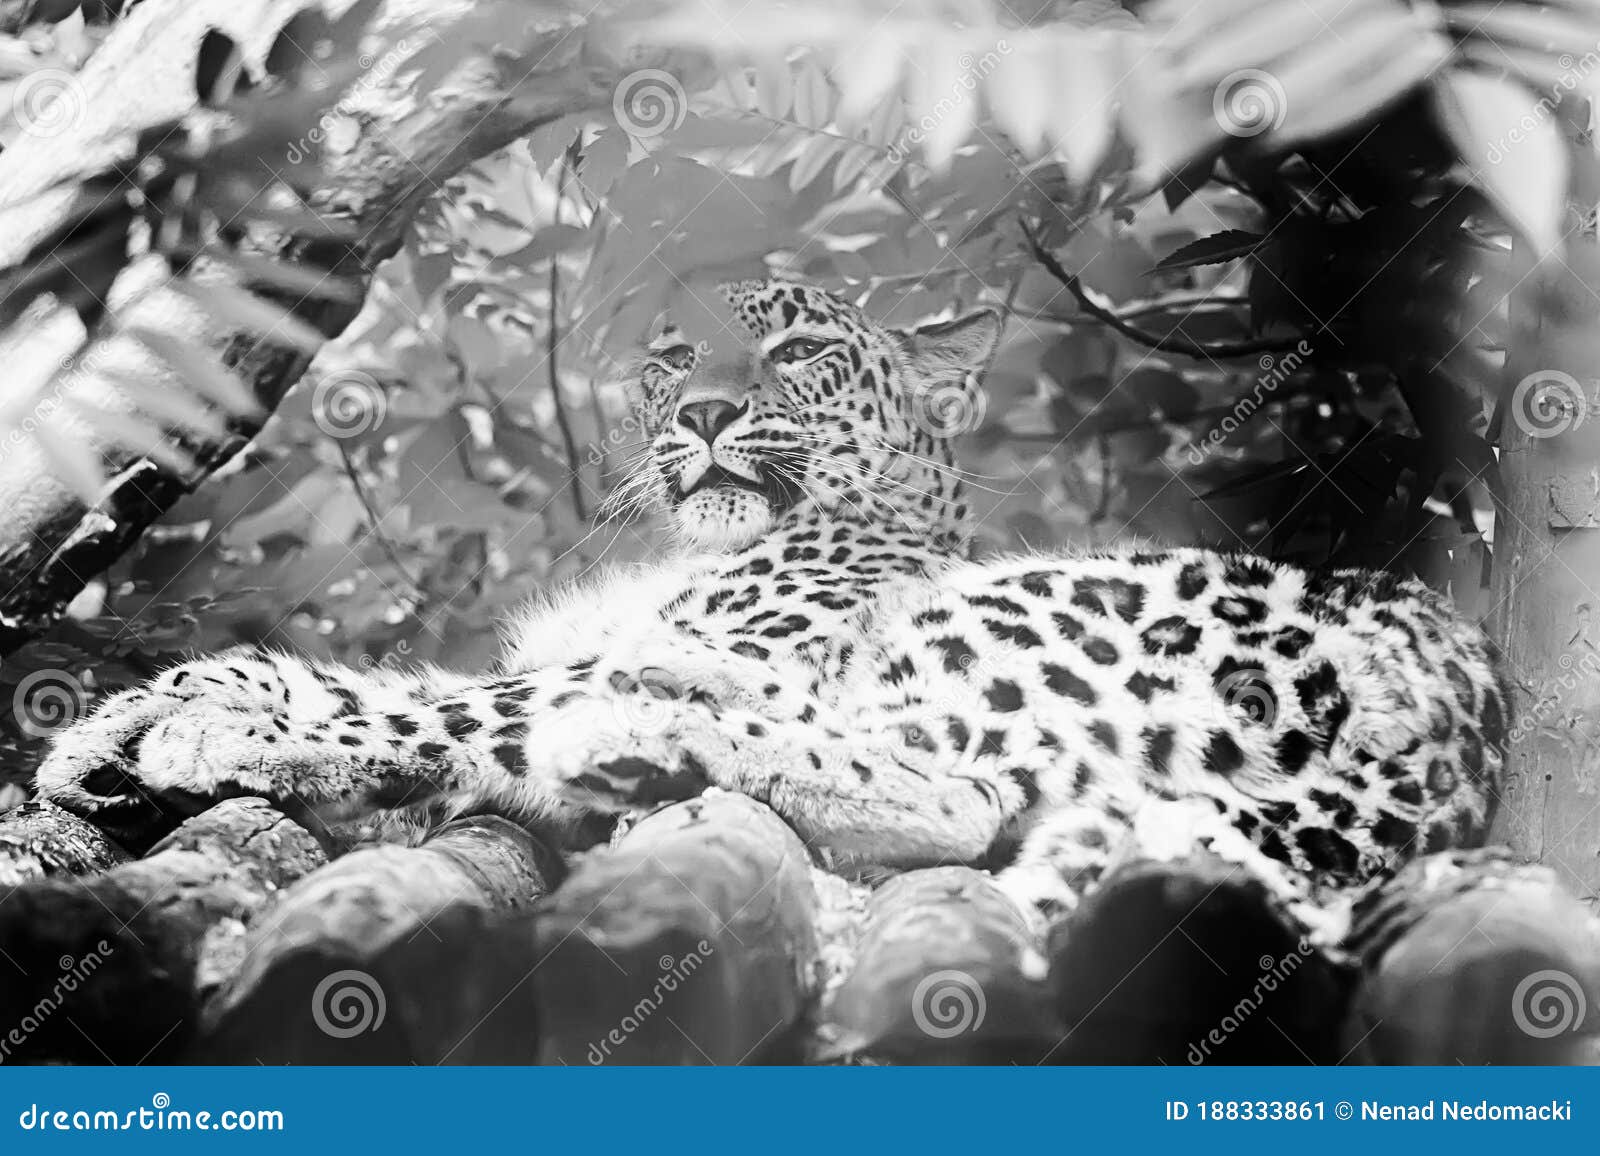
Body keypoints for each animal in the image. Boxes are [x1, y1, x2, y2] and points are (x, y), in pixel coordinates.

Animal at [35, 276, 1507, 933]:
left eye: (798, 350)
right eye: (676, 352)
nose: (704, 411)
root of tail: (1452, 732)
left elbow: (438, 704)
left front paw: (214, 728)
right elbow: (382, 681)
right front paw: (114, 729)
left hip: (1015, 620)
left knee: (951, 793)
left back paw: (640, 737)